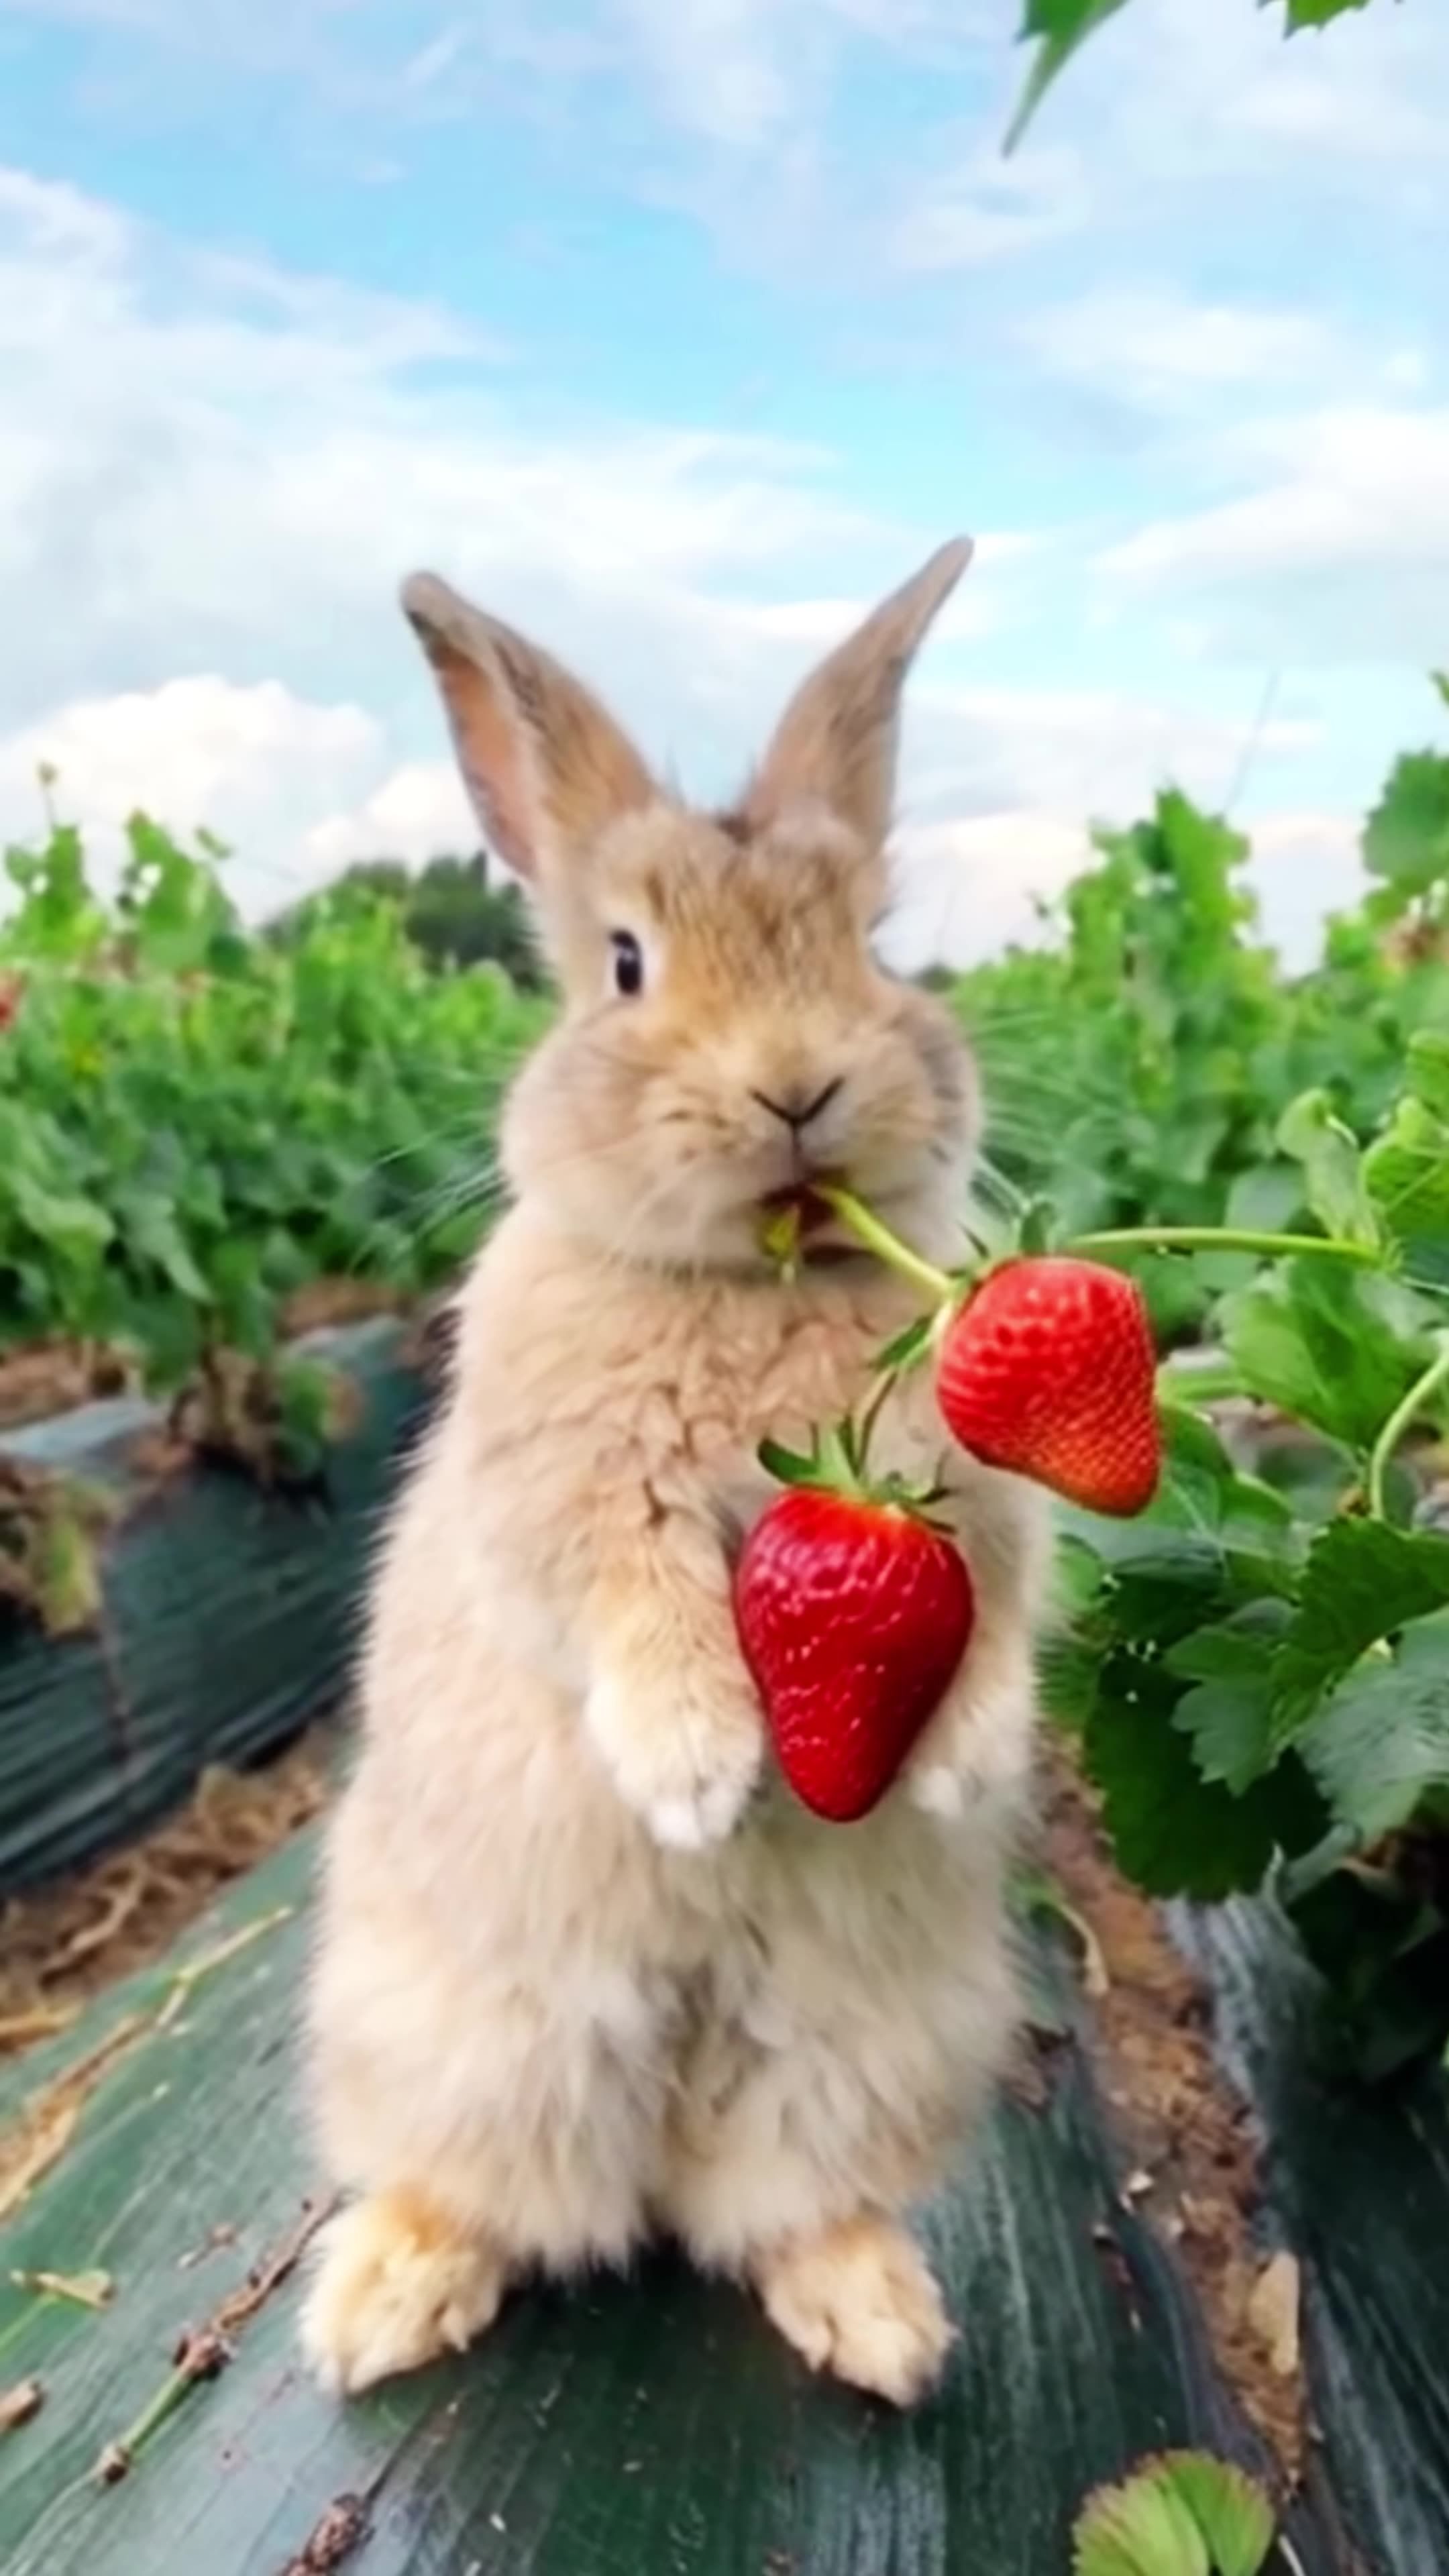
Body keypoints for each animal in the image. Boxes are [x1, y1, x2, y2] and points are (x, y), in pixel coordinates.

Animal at [299, 537, 1052, 2410]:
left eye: (871, 940)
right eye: (627, 962)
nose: (796, 1087)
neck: (753, 1283)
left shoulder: (986, 1508)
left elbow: (999, 1610)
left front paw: (957, 1765)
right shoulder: (574, 1512)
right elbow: (636, 1610)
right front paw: (703, 1778)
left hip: (858, 2059)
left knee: (774, 2208)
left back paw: (884, 2332)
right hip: (473, 2046)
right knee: (484, 2190)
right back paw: (378, 2312)